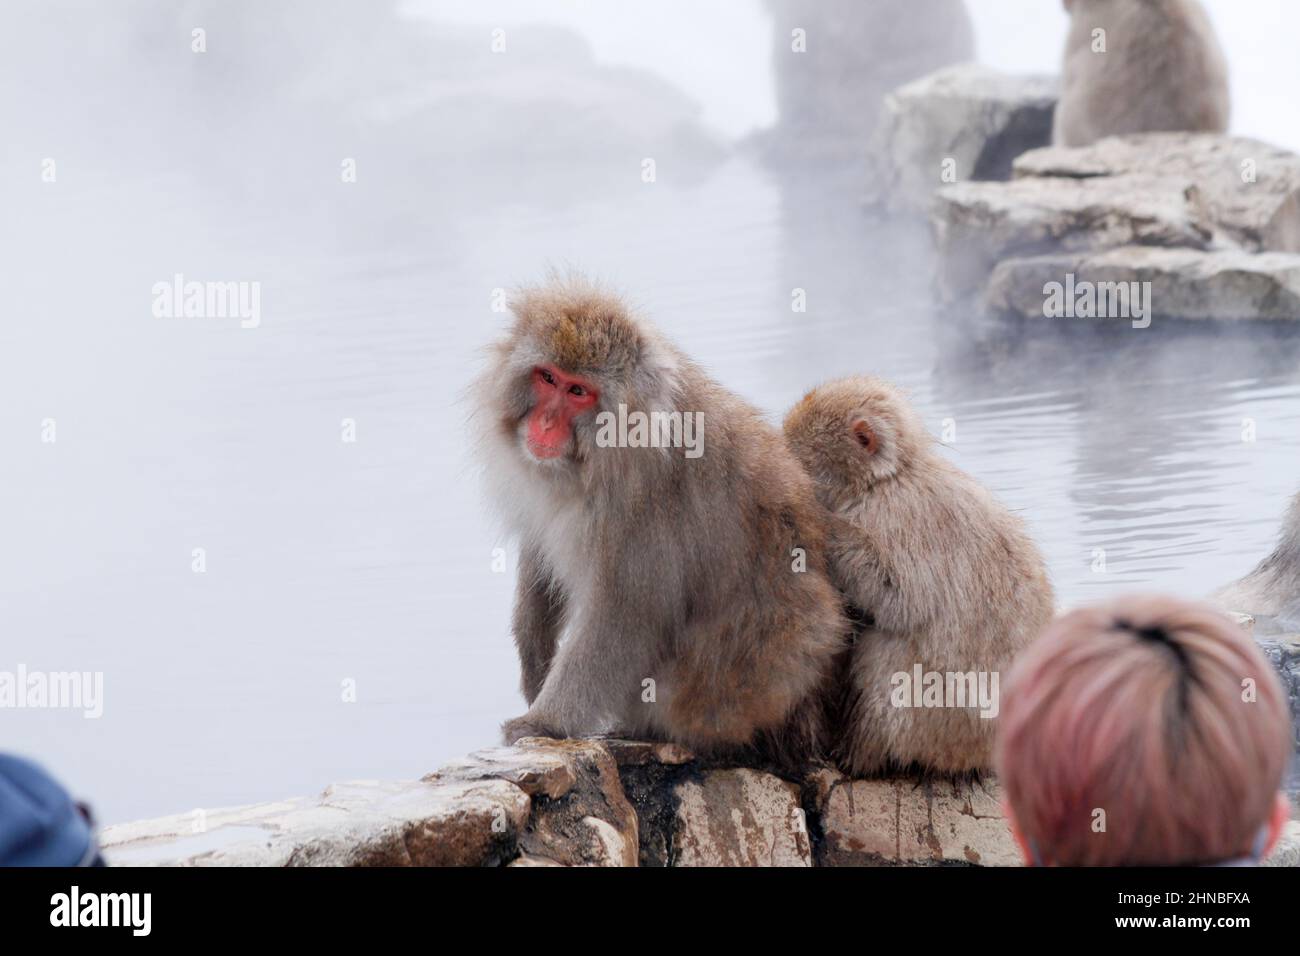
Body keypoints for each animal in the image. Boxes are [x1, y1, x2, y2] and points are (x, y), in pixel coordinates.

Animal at [473, 276, 847, 767]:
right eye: (548, 377)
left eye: (578, 392)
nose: (546, 421)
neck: (596, 460)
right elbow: (542, 553)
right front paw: (533, 651)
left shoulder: (642, 513)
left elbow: (624, 615)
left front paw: (543, 723)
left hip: (758, 676)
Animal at [783, 377, 1055, 776]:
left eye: (802, 464)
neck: (889, 477)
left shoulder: (891, 516)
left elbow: (902, 600)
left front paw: (826, 526)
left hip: (942, 727)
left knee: (889, 654)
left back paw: (861, 755)